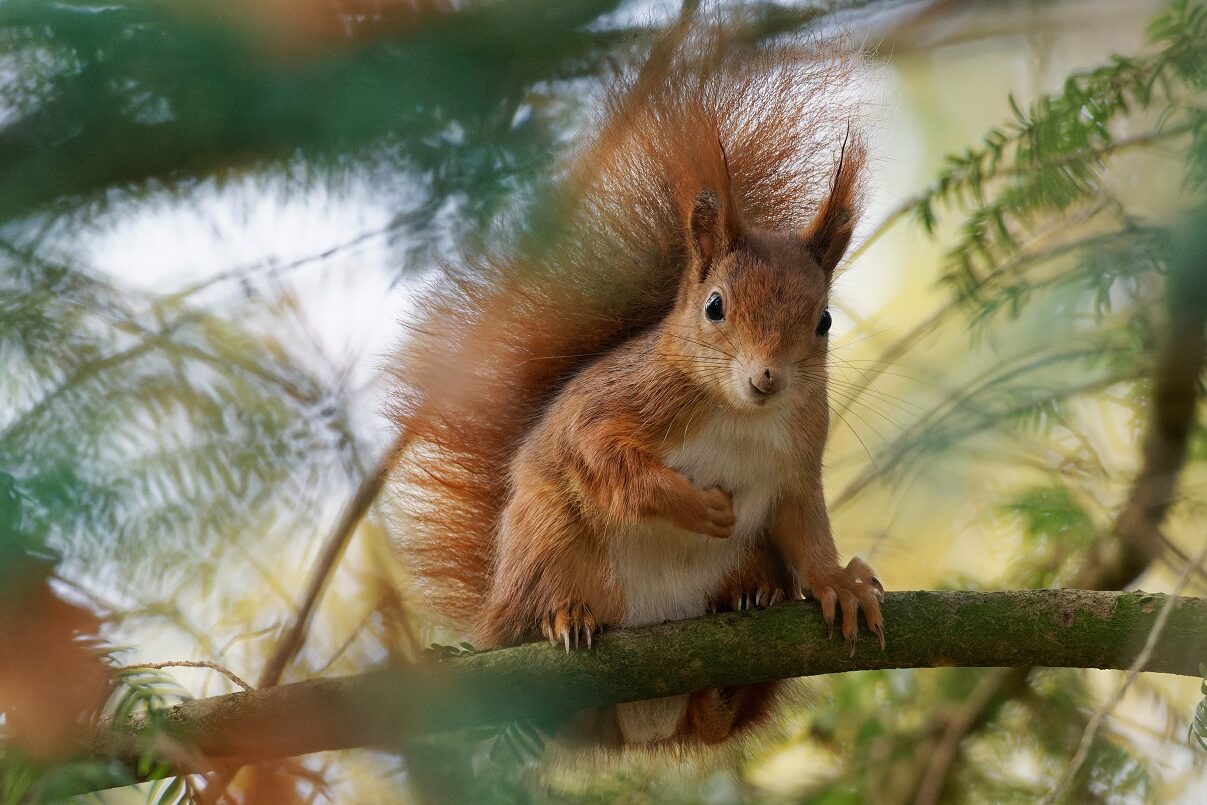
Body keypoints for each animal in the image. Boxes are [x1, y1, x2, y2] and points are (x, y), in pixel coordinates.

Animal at [388, 21, 884, 747]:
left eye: (822, 320)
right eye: (714, 306)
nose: (767, 377)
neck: (739, 414)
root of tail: (644, 719)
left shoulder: (797, 457)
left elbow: (804, 527)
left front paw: (836, 583)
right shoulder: (617, 405)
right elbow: (608, 459)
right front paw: (695, 506)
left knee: (715, 722)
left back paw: (744, 617)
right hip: (549, 536)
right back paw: (563, 617)